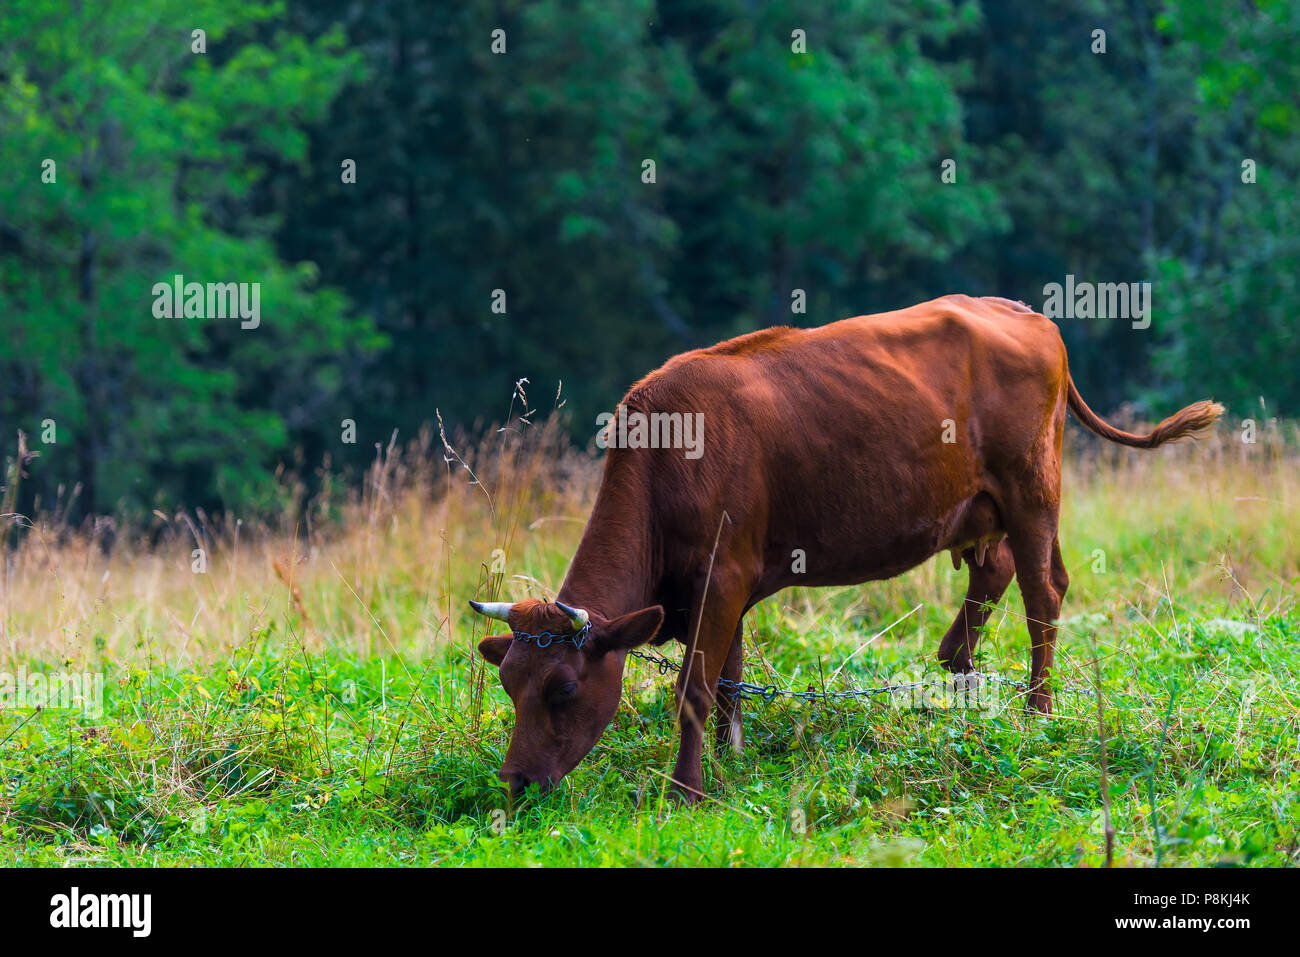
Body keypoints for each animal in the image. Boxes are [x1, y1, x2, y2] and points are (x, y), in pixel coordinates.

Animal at [470, 294, 1223, 802]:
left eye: (565, 688)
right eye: (509, 682)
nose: (515, 780)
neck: (664, 460)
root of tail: (1023, 312)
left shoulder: (722, 573)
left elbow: (694, 686)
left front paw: (687, 789)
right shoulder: (726, 584)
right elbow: (728, 679)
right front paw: (730, 762)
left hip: (1033, 487)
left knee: (1044, 592)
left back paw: (1036, 711)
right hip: (979, 505)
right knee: (998, 572)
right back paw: (959, 672)